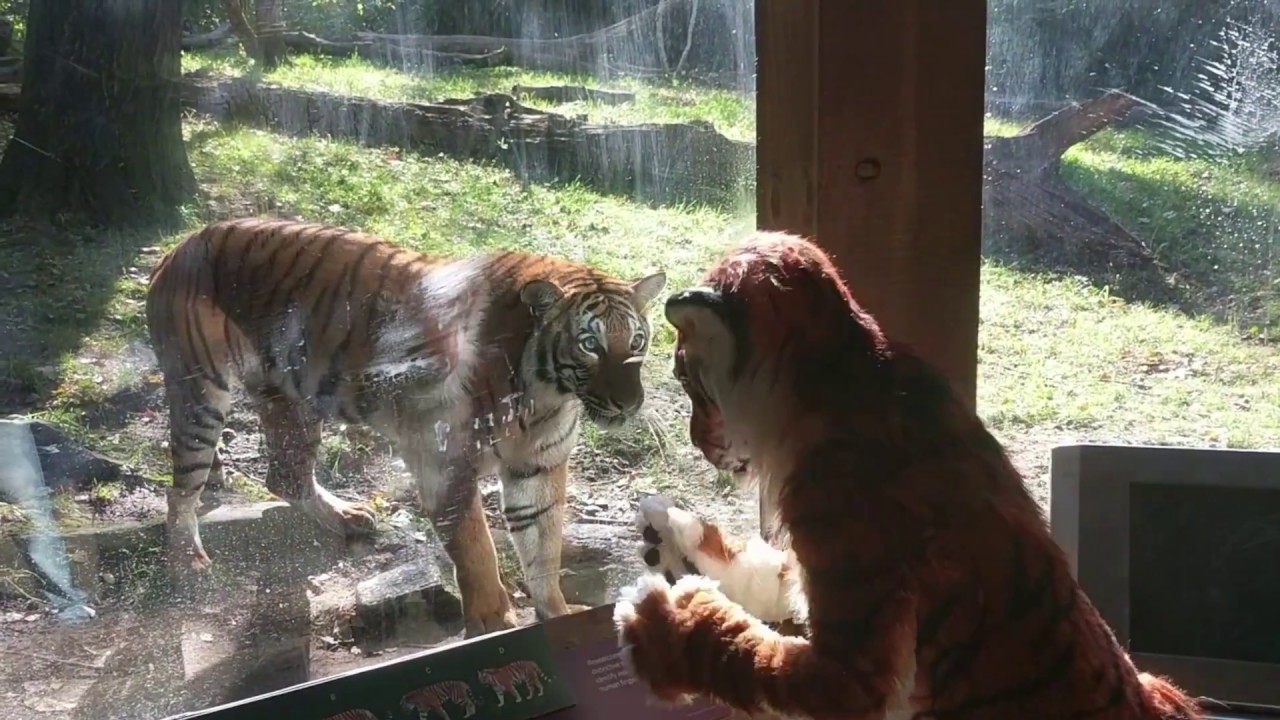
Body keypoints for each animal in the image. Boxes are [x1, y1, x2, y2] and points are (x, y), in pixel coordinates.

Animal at [145, 217, 666, 637]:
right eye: (590, 345)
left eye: (637, 341)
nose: (629, 403)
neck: (546, 395)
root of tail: (176, 247)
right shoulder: (443, 461)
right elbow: (476, 548)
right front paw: (493, 621)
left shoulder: (537, 467)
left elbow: (543, 549)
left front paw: (554, 613)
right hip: (201, 395)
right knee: (181, 489)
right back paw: (190, 565)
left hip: (292, 399)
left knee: (285, 475)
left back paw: (347, 517)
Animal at [613, 231, 1204, 719]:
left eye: (685, 380)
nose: (694, 438)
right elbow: (764, 573)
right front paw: (671, 539)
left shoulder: (851, 665)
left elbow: (742, 651)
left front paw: (662, 621)